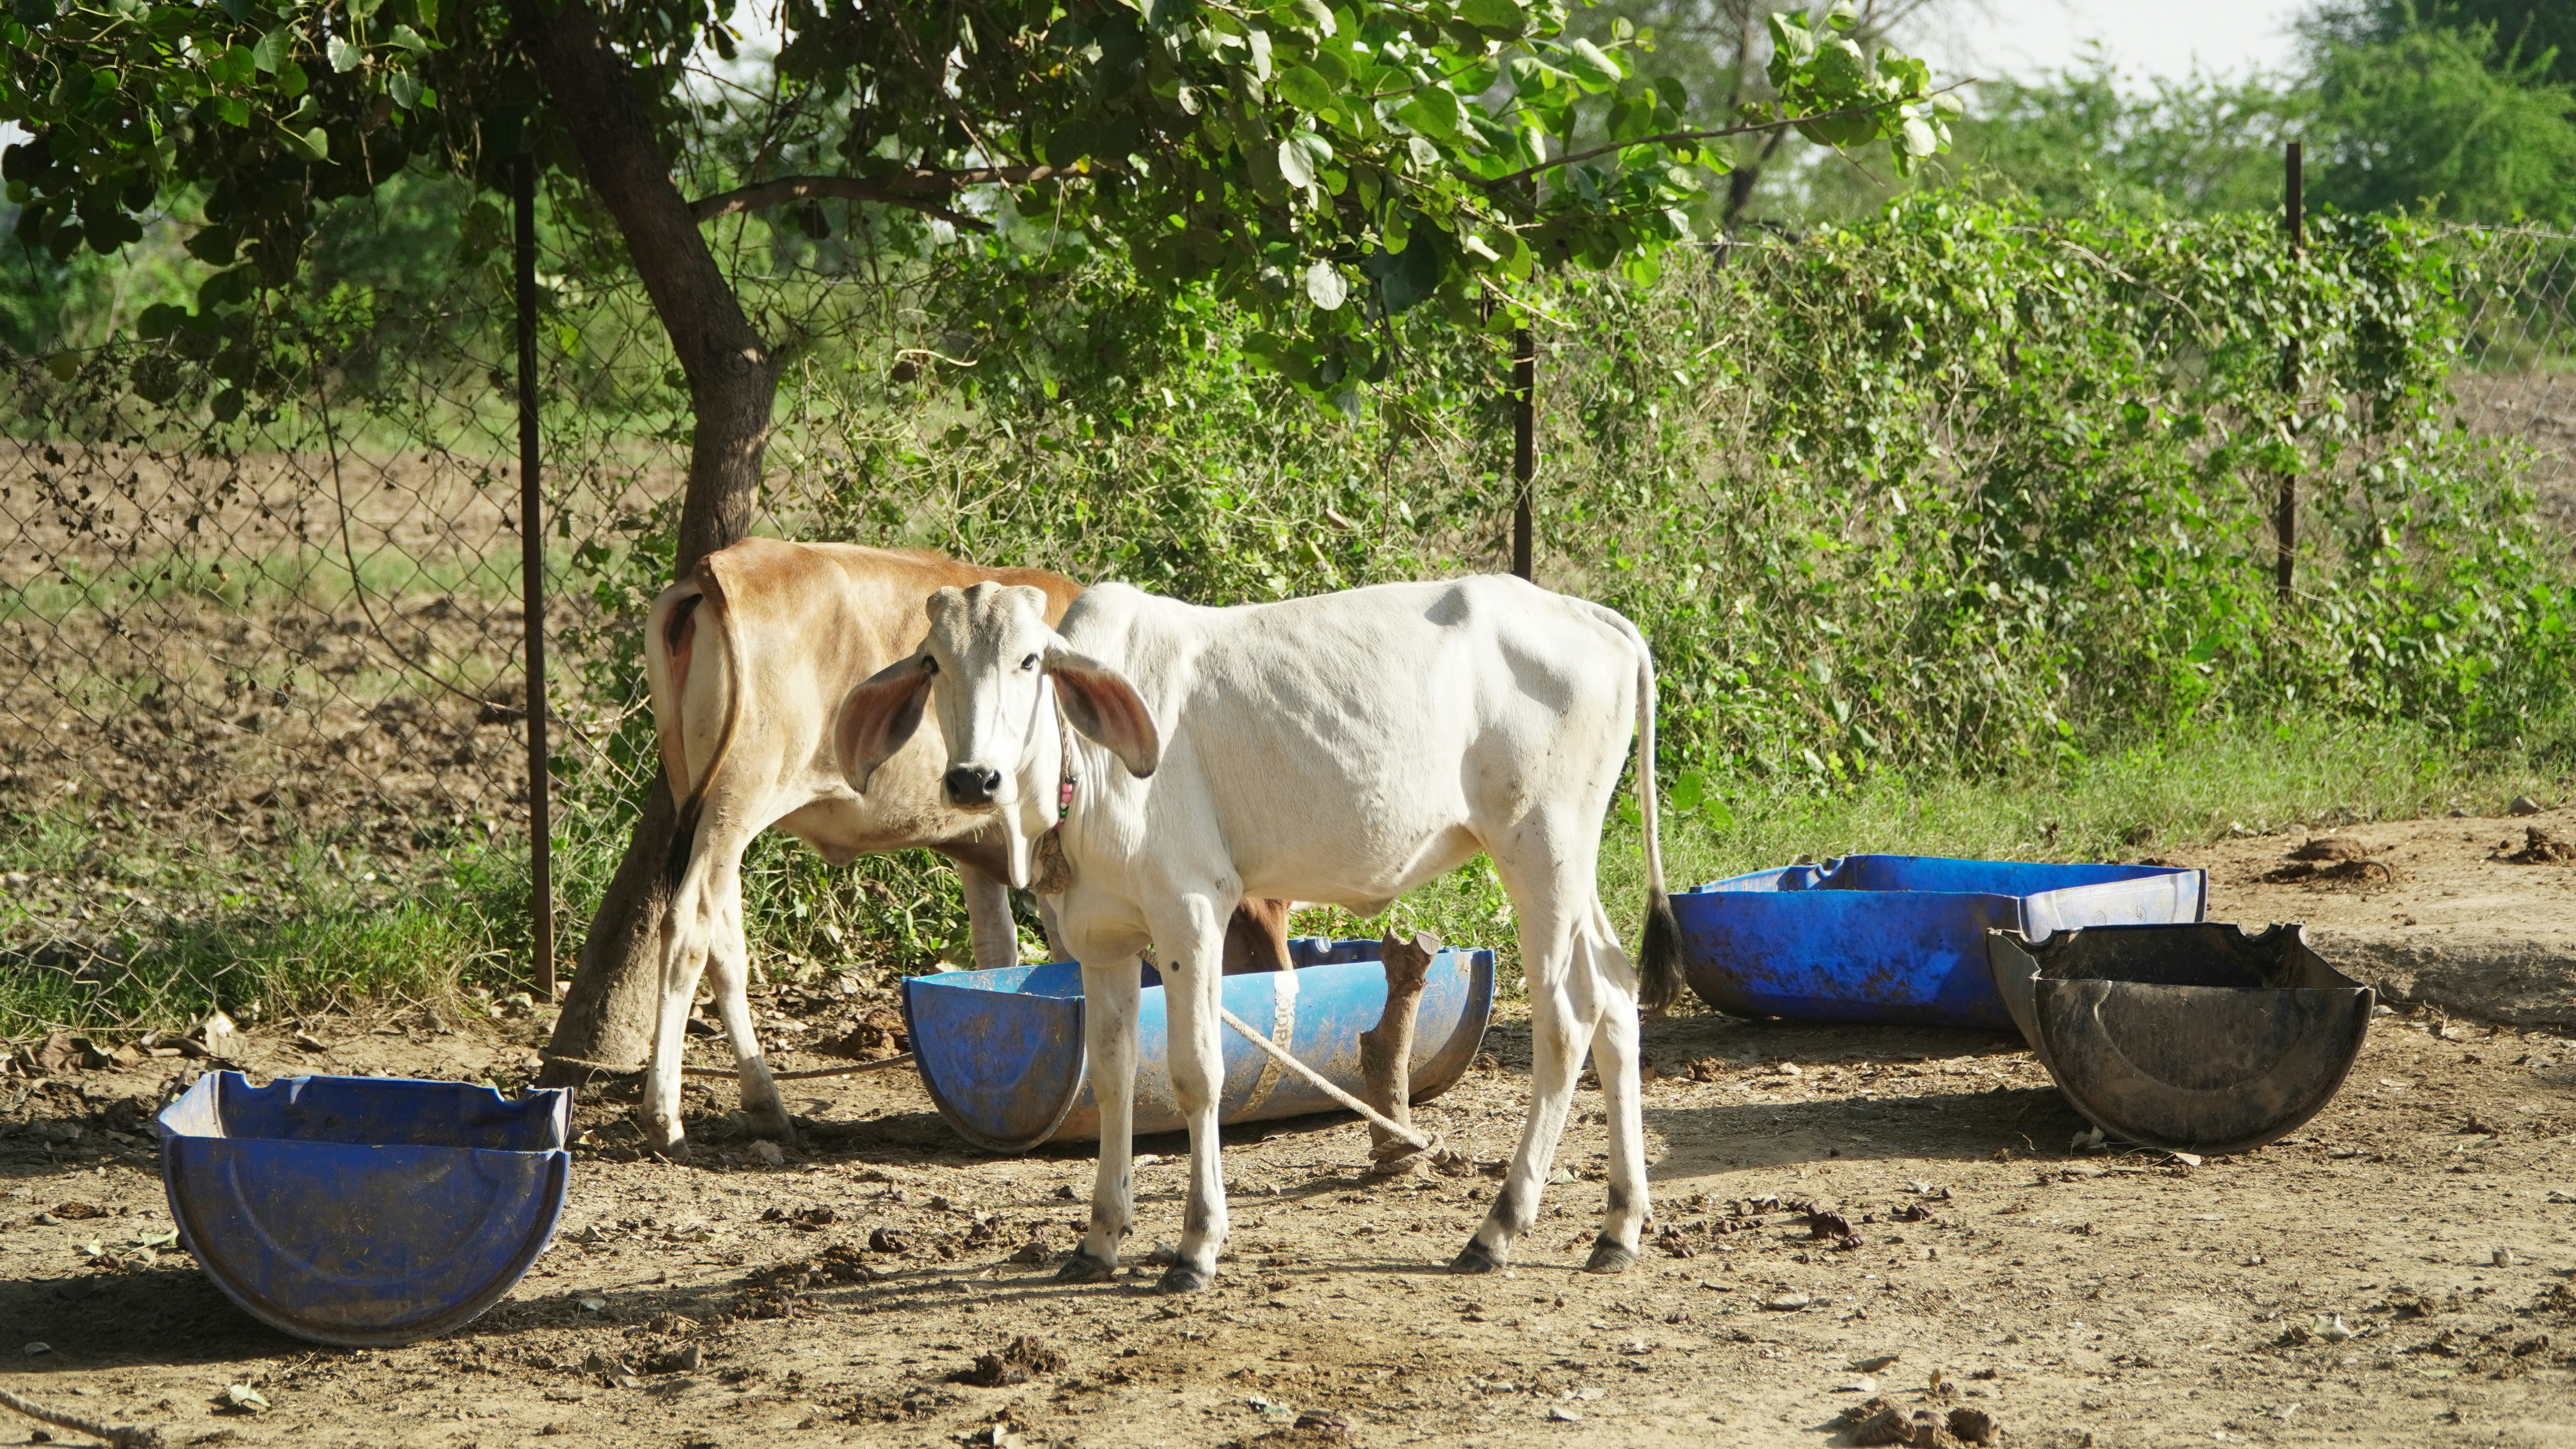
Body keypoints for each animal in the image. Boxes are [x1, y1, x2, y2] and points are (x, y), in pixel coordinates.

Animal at [637, 539, 1293, 1160]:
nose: (1284, 981)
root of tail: (716, 568)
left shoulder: (980, 849)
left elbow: (999, 950)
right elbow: (1064, 950)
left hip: (705, 803)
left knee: (725, 941)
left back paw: (765, 1104)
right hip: (738, 799)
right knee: (689, 926)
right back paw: (665, 1118)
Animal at [834, 574, 1681, 1290]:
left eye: (1030, 661)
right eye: (934, 663)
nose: (974, 778)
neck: (1085, 767)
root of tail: (1597, 619)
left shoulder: (1192, 912)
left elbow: (1196, 1072)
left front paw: (1196, 1246)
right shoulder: (1101, 940)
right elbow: (1110, 1075)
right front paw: (1100, 1239)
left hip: (1540, 848)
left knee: (1566, 1022)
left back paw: (1499, 1228)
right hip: (1571, 866)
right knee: (1614, 999)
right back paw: (1618, 1228)